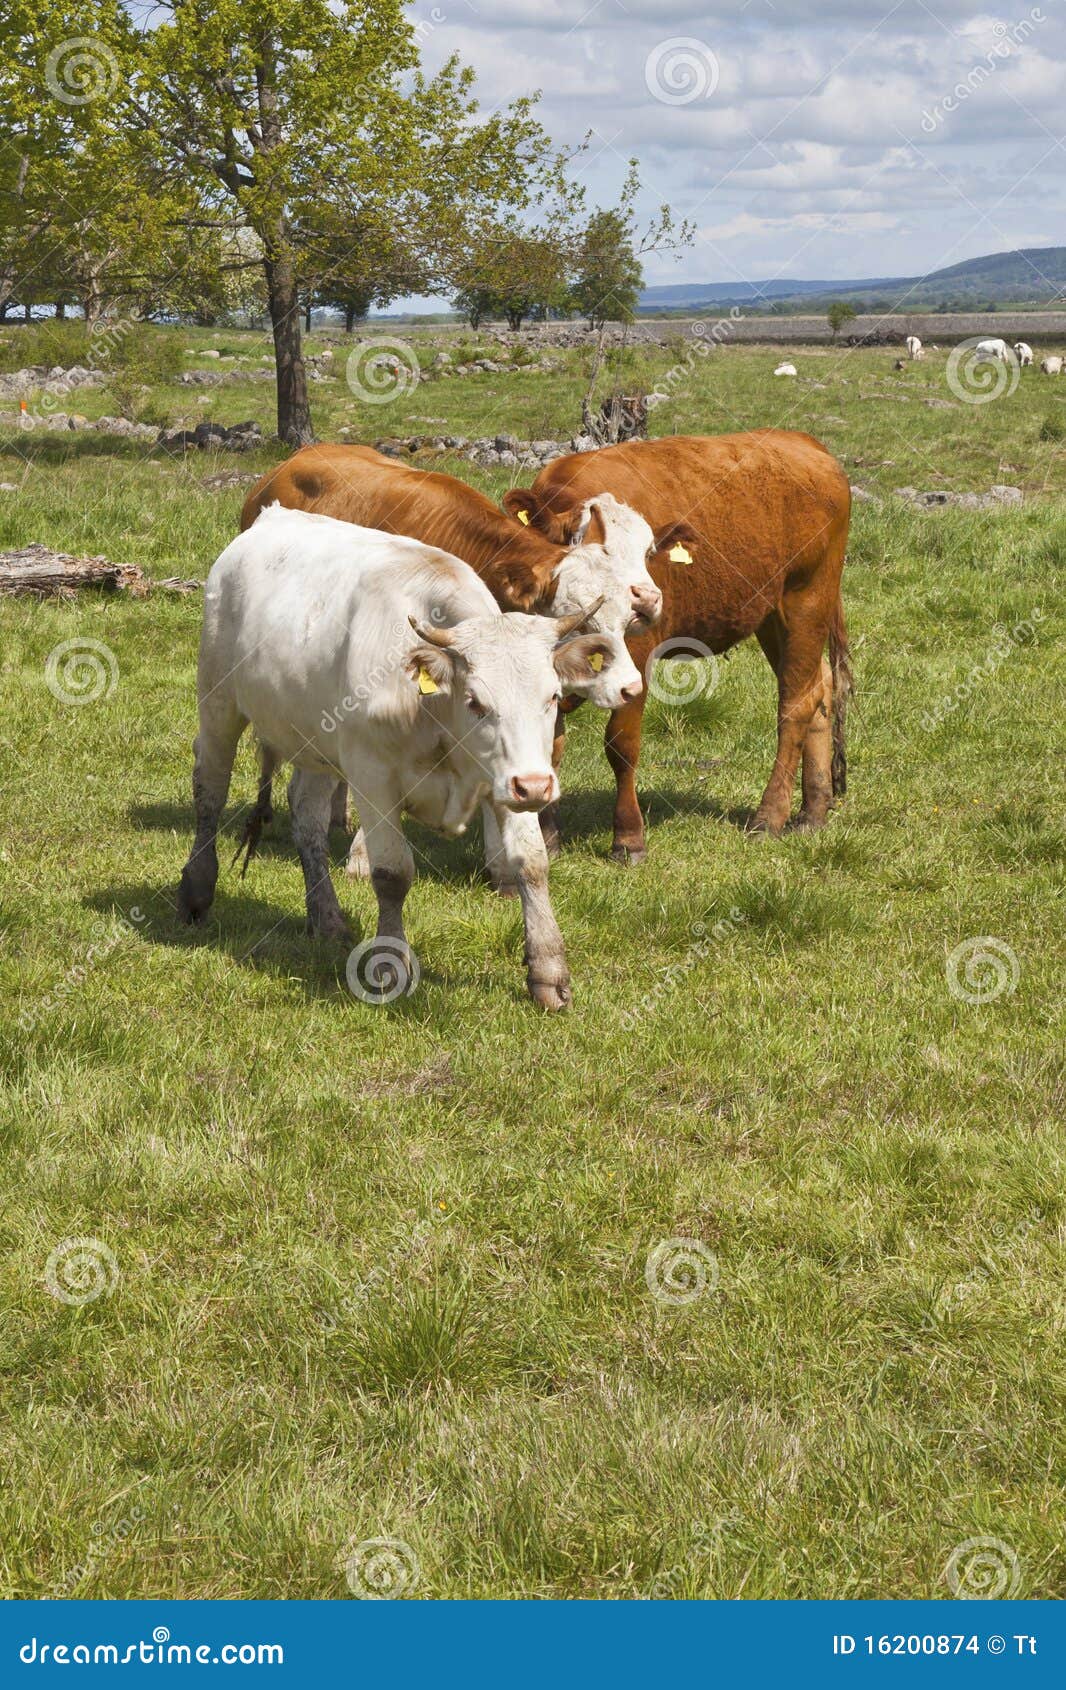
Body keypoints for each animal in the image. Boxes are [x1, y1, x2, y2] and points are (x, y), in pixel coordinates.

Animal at [177, 506, 639, 1010]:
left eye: (552, 695)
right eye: (475, 701)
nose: (536, 787)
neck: (434, 717)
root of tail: (271, 515)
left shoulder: (506, 776)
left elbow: (532, 864)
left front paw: (549, 973)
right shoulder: (372, 777)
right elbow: (392, 874)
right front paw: (389, 965)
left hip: (315, 742)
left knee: (307, 817)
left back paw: (327, 918)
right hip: (217, 700)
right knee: (211, 784)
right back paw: (197, 890)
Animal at [502, 430, 852, 862]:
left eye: (649, 553)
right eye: (591, 550)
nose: (648, 599)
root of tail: (805, 443)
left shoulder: (637, 658)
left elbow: (621, 745)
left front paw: (628, 838)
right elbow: (550, 745)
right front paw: (546, 836)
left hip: (807, 598)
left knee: (796, 705)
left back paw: (769, 815)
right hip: (774, 616)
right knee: (820, 689)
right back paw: (813, 811)